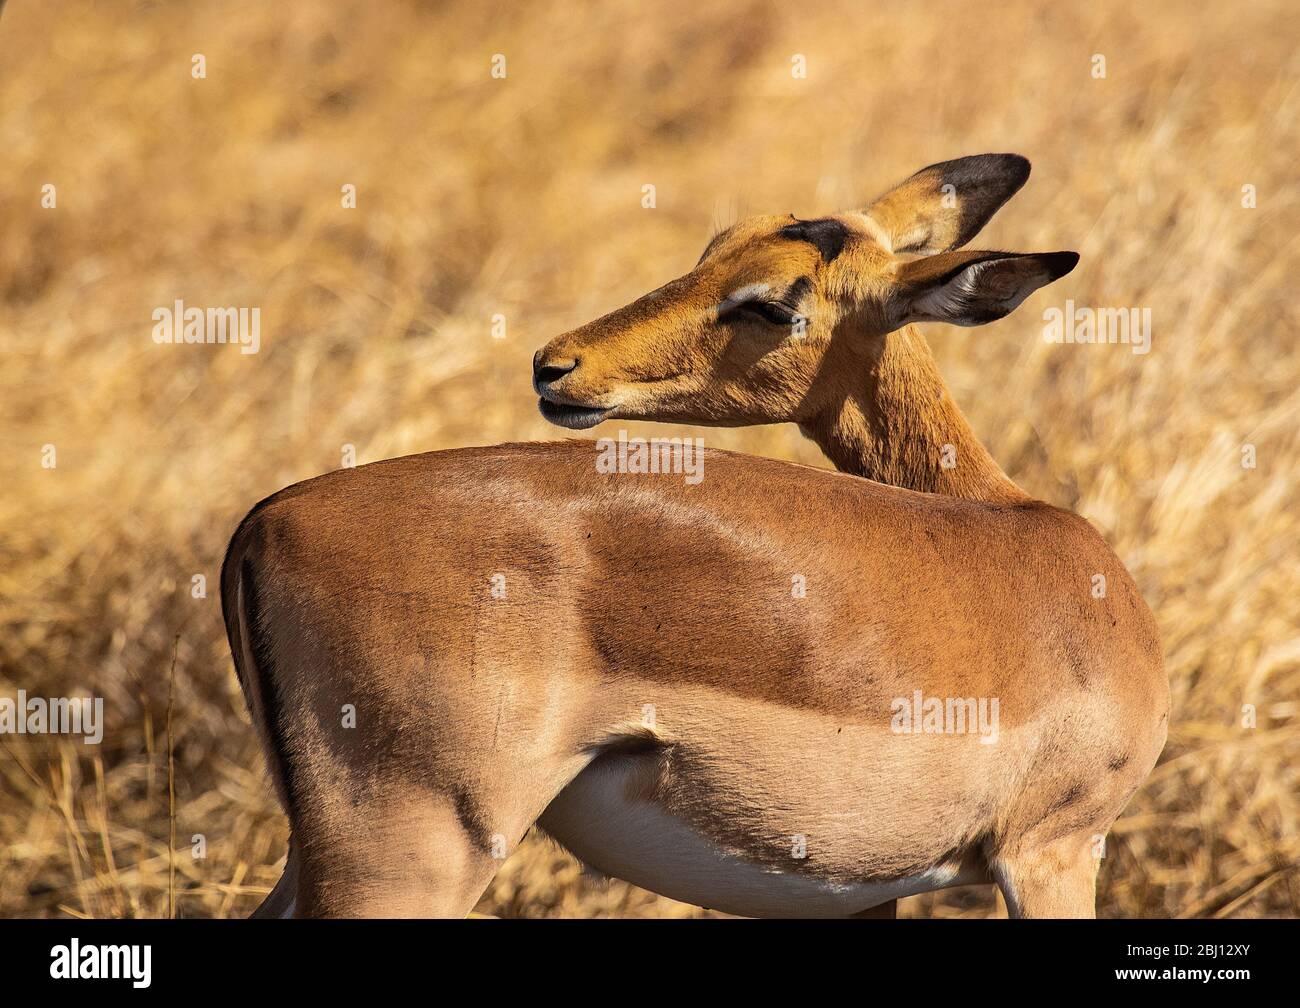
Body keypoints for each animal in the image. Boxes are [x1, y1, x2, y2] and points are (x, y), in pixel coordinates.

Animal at [223, 155, 1168, 918]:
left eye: (771, 300)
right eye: (716, 249)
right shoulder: (1052, 849)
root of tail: (265, 522)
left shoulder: (860, 893)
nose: (555, 366)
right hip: (414, 854)